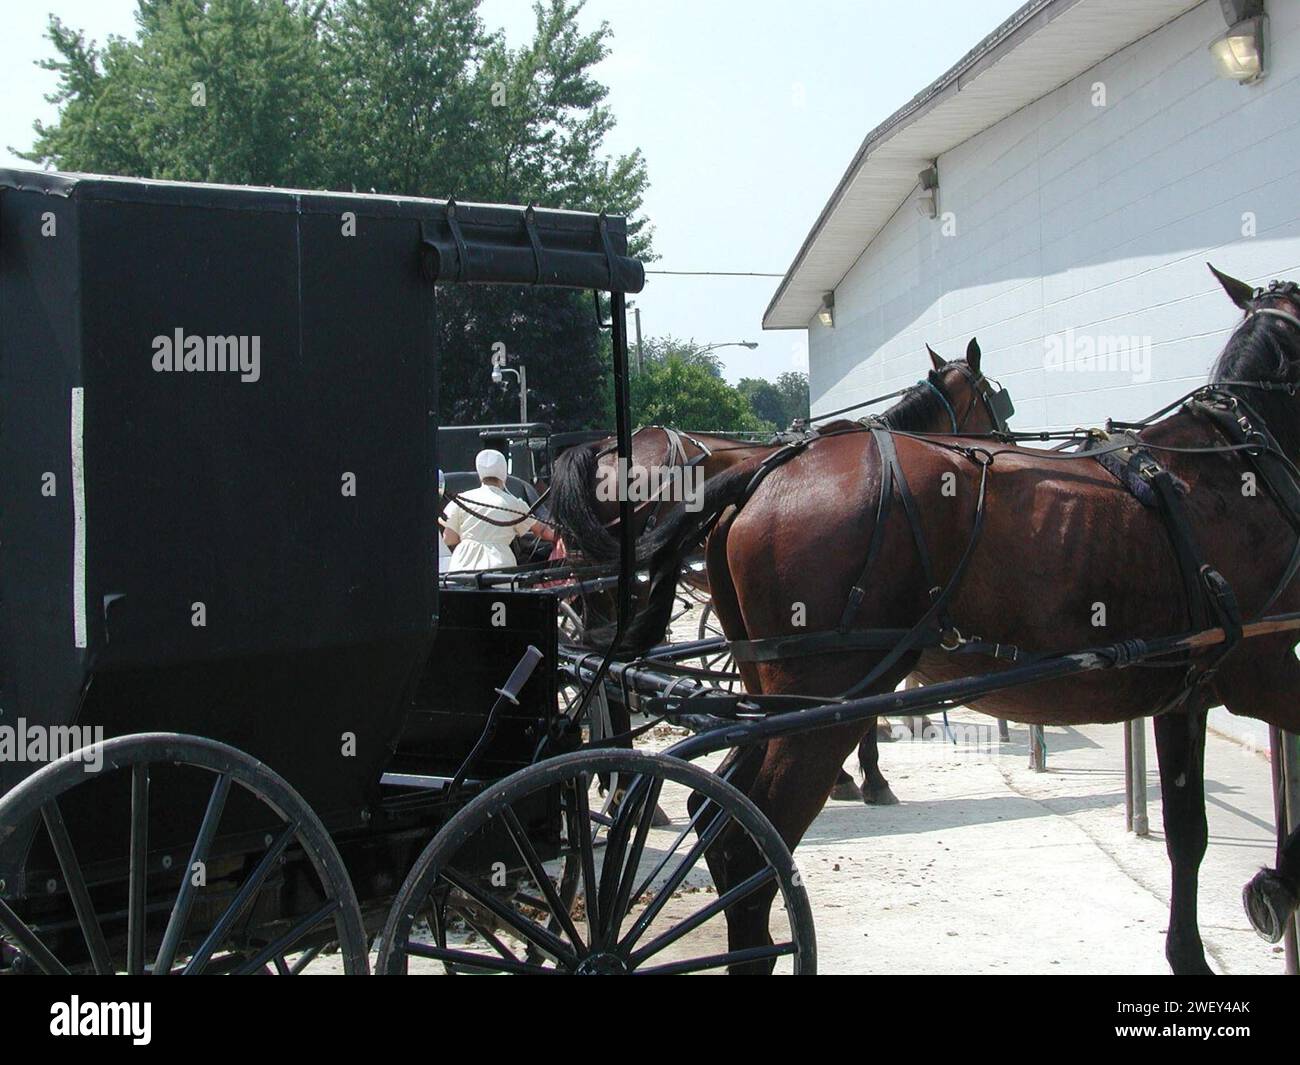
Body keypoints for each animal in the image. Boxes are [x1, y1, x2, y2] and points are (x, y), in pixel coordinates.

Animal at [629, 266, 1300, 974]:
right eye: (994, 400)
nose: (1004, 435)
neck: (1228, 463)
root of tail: (760, 474)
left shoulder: (1187, 688)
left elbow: (1187, 835)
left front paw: (1192, 951)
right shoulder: (1259, 667)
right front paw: (1276, 886)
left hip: (776, 695)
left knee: (717, 817)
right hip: (827, 702)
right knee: (746, 846)